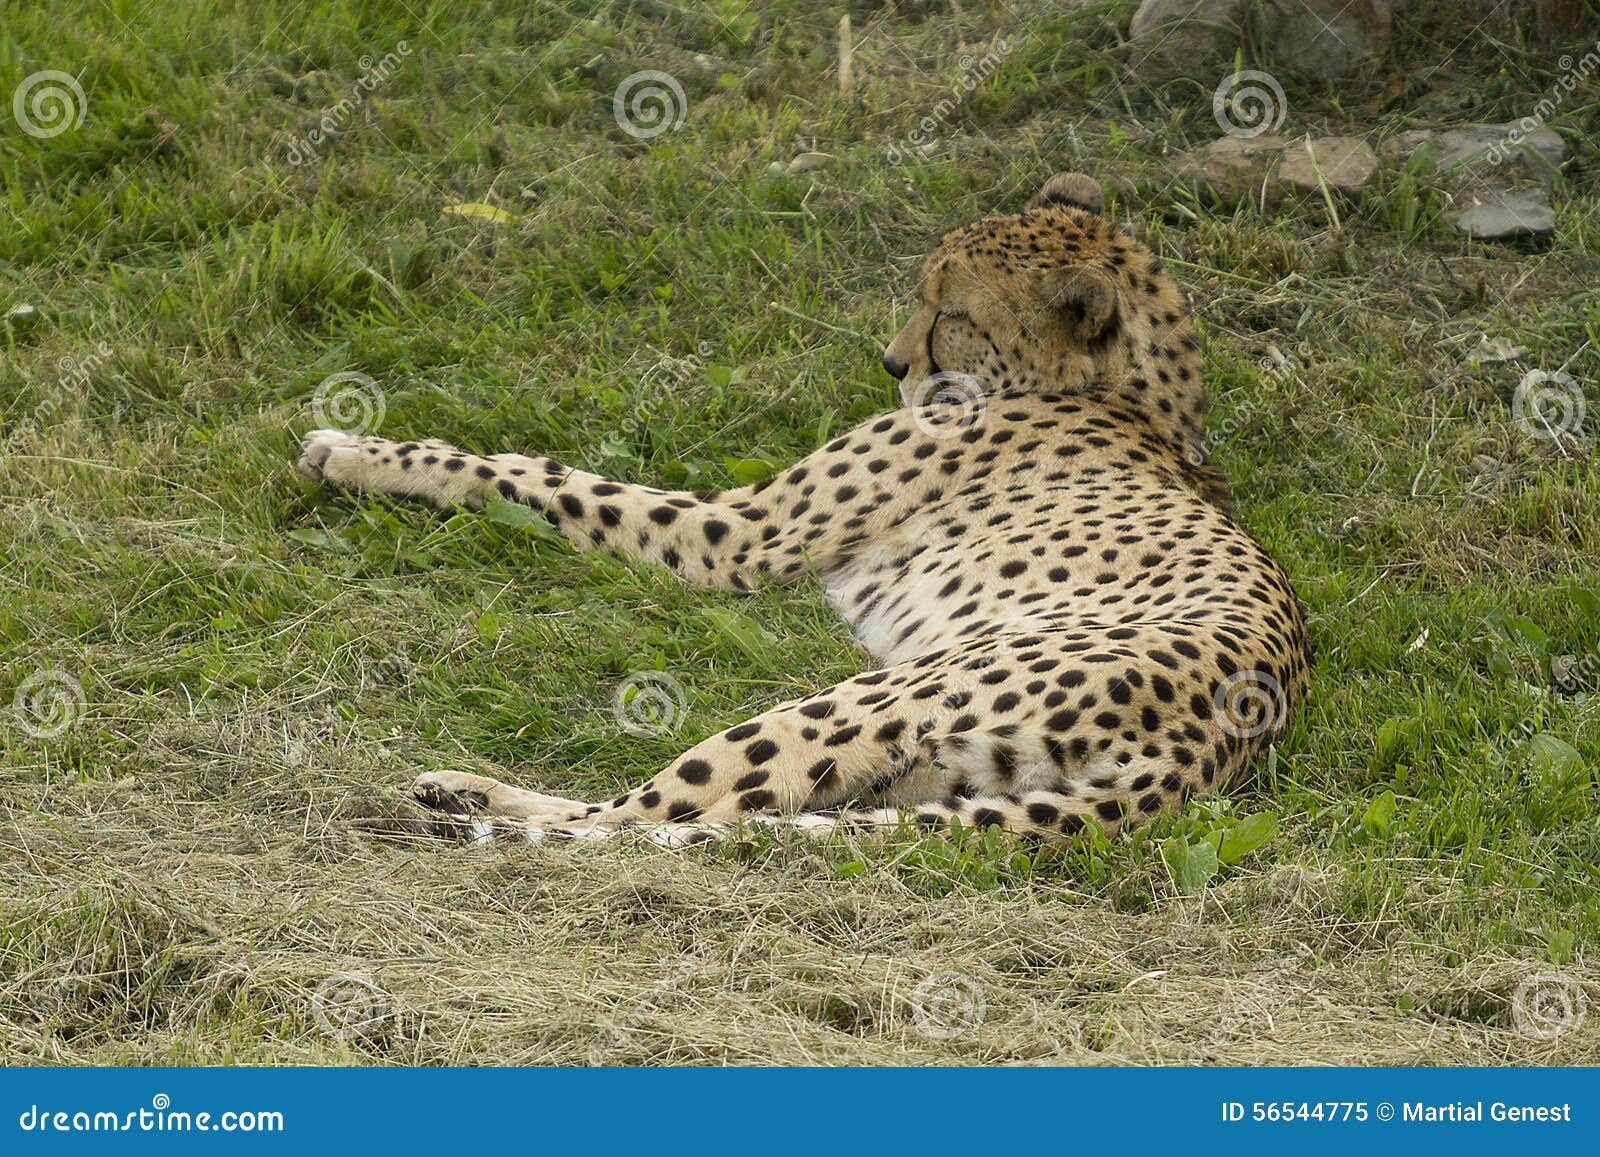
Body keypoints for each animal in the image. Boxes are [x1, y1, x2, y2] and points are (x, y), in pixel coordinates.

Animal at [293, 172, 1311, 848]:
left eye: (950, 311)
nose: (892, 363)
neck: (1135, 397)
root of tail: (1215, 740)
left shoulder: (736, 534)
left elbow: (542, 474)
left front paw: (360, 451)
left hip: (853, 704)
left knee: (625, 825)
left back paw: (469, 803)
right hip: (922, 781)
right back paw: (462, 800)